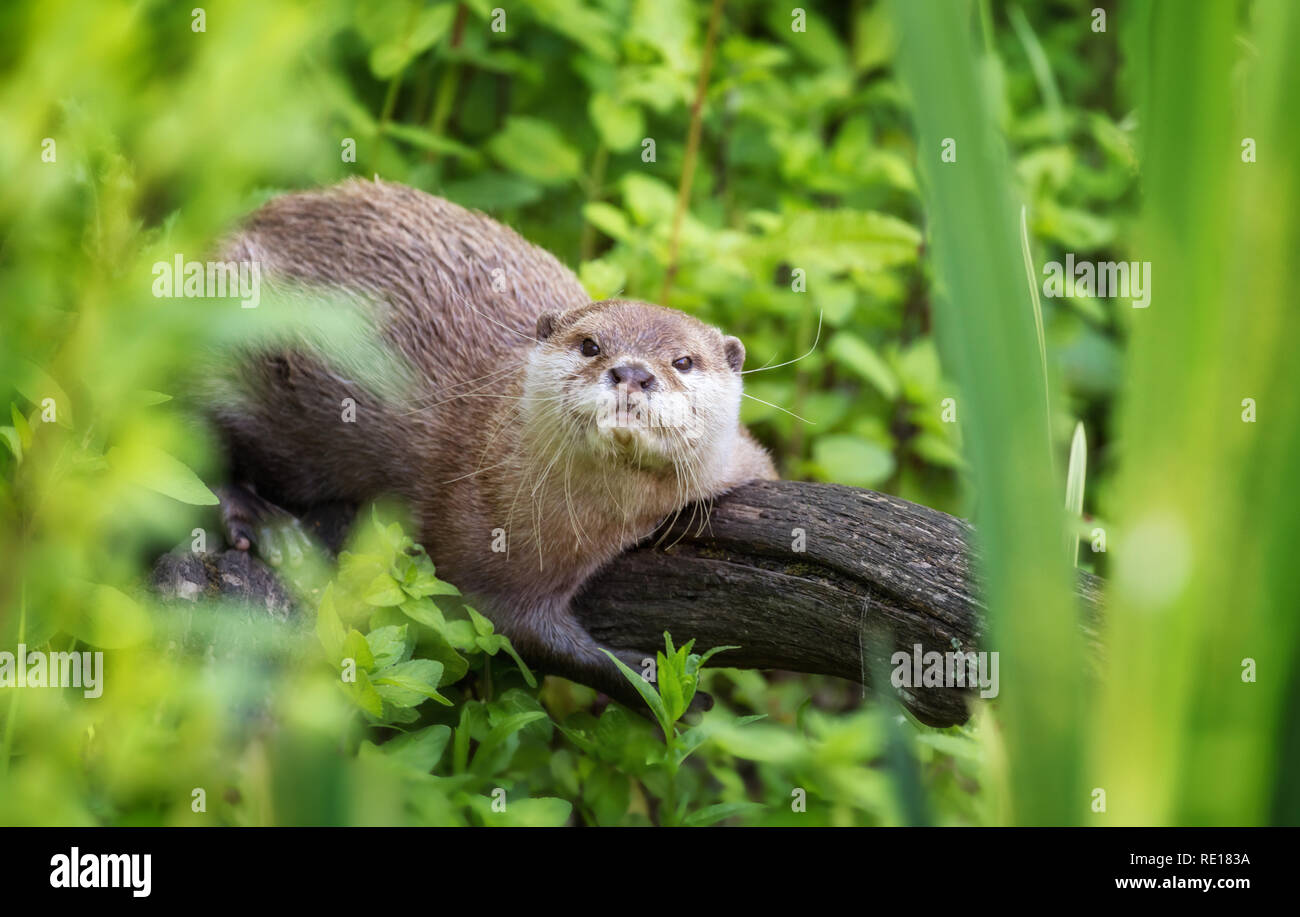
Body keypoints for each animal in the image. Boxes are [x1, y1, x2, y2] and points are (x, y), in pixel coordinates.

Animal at [206, 178, 775, 707]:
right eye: (590, 345)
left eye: (683, 360)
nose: (632, 372)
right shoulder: (483, 536)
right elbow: (516, 627)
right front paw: (651, 681)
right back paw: (266, 523)